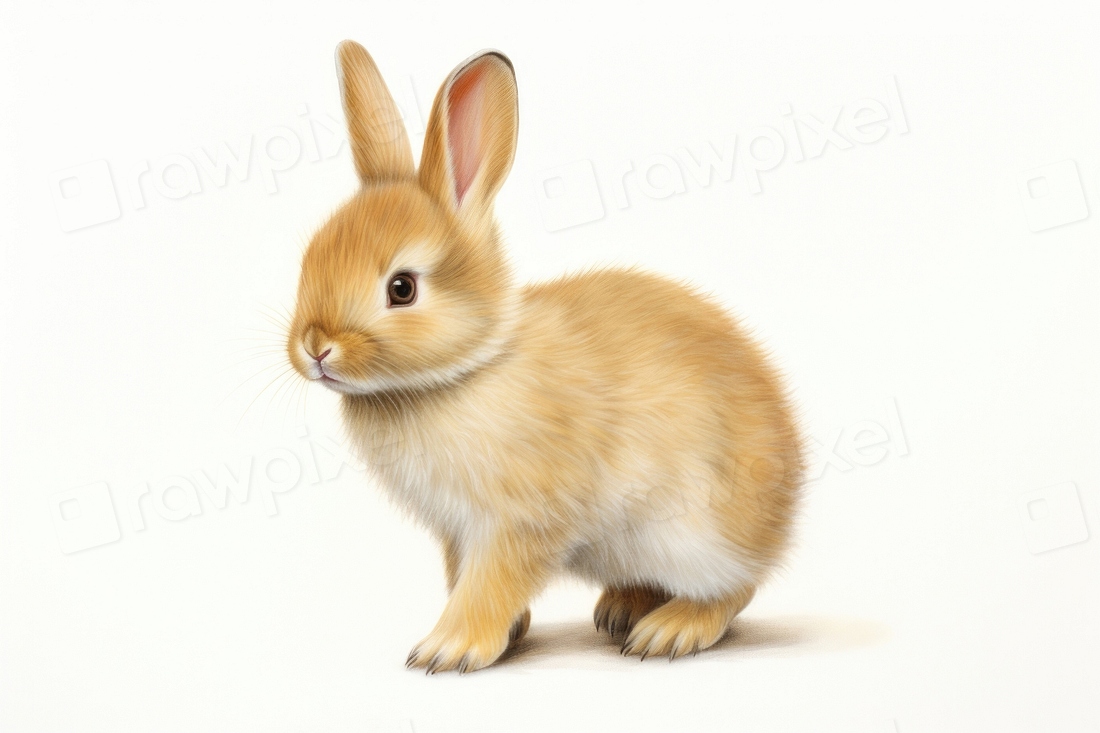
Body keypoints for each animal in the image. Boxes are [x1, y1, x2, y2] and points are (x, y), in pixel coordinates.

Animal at [286, 40, 804, 673]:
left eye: (402, 288)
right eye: (310, 257)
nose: (314, 347)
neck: (465, 369)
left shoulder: (518, 522)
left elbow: (489, 582)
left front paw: (449, 648)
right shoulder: (458, 532)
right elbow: (463, 576)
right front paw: (509, 632)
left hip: (696, 533)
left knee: (737, 588)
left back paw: (669, 631)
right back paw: (620, 609)